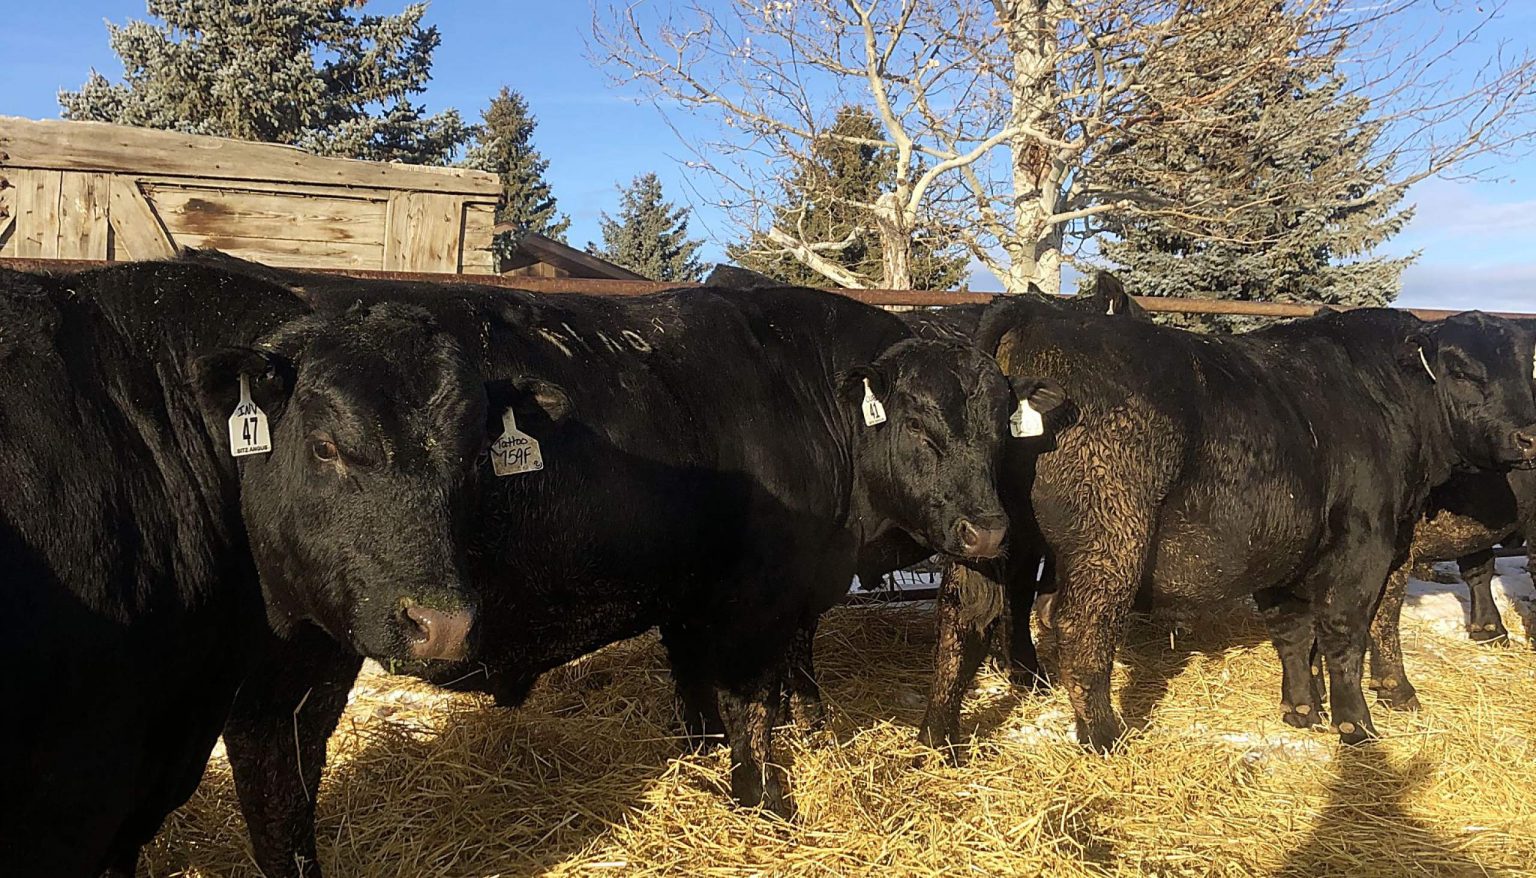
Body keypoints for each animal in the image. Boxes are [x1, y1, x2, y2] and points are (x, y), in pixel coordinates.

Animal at [173, 253, 1060, 876]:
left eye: (999, 429)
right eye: (918, 425)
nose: (989, 531)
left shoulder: (699, 593)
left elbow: (706, 688)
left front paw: (713, 754)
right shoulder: (754, 601)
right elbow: (751, 702)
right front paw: (764, 800)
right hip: (292, 660)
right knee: (273, 766)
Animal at [960, 302, 1536, 751]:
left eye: (1527, 372)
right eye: (1462, 372)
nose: (1528, 437)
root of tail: (1042, 315)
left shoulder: (1286, 549)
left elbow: (1293, 631)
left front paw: (1303, 709)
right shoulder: (1368, 546)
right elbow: (1353, 631)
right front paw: (1359, 723)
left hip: (1022, 539)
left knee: (1015, 604)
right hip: (1110, 537)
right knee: (1079, 625)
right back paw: (1103, 734)